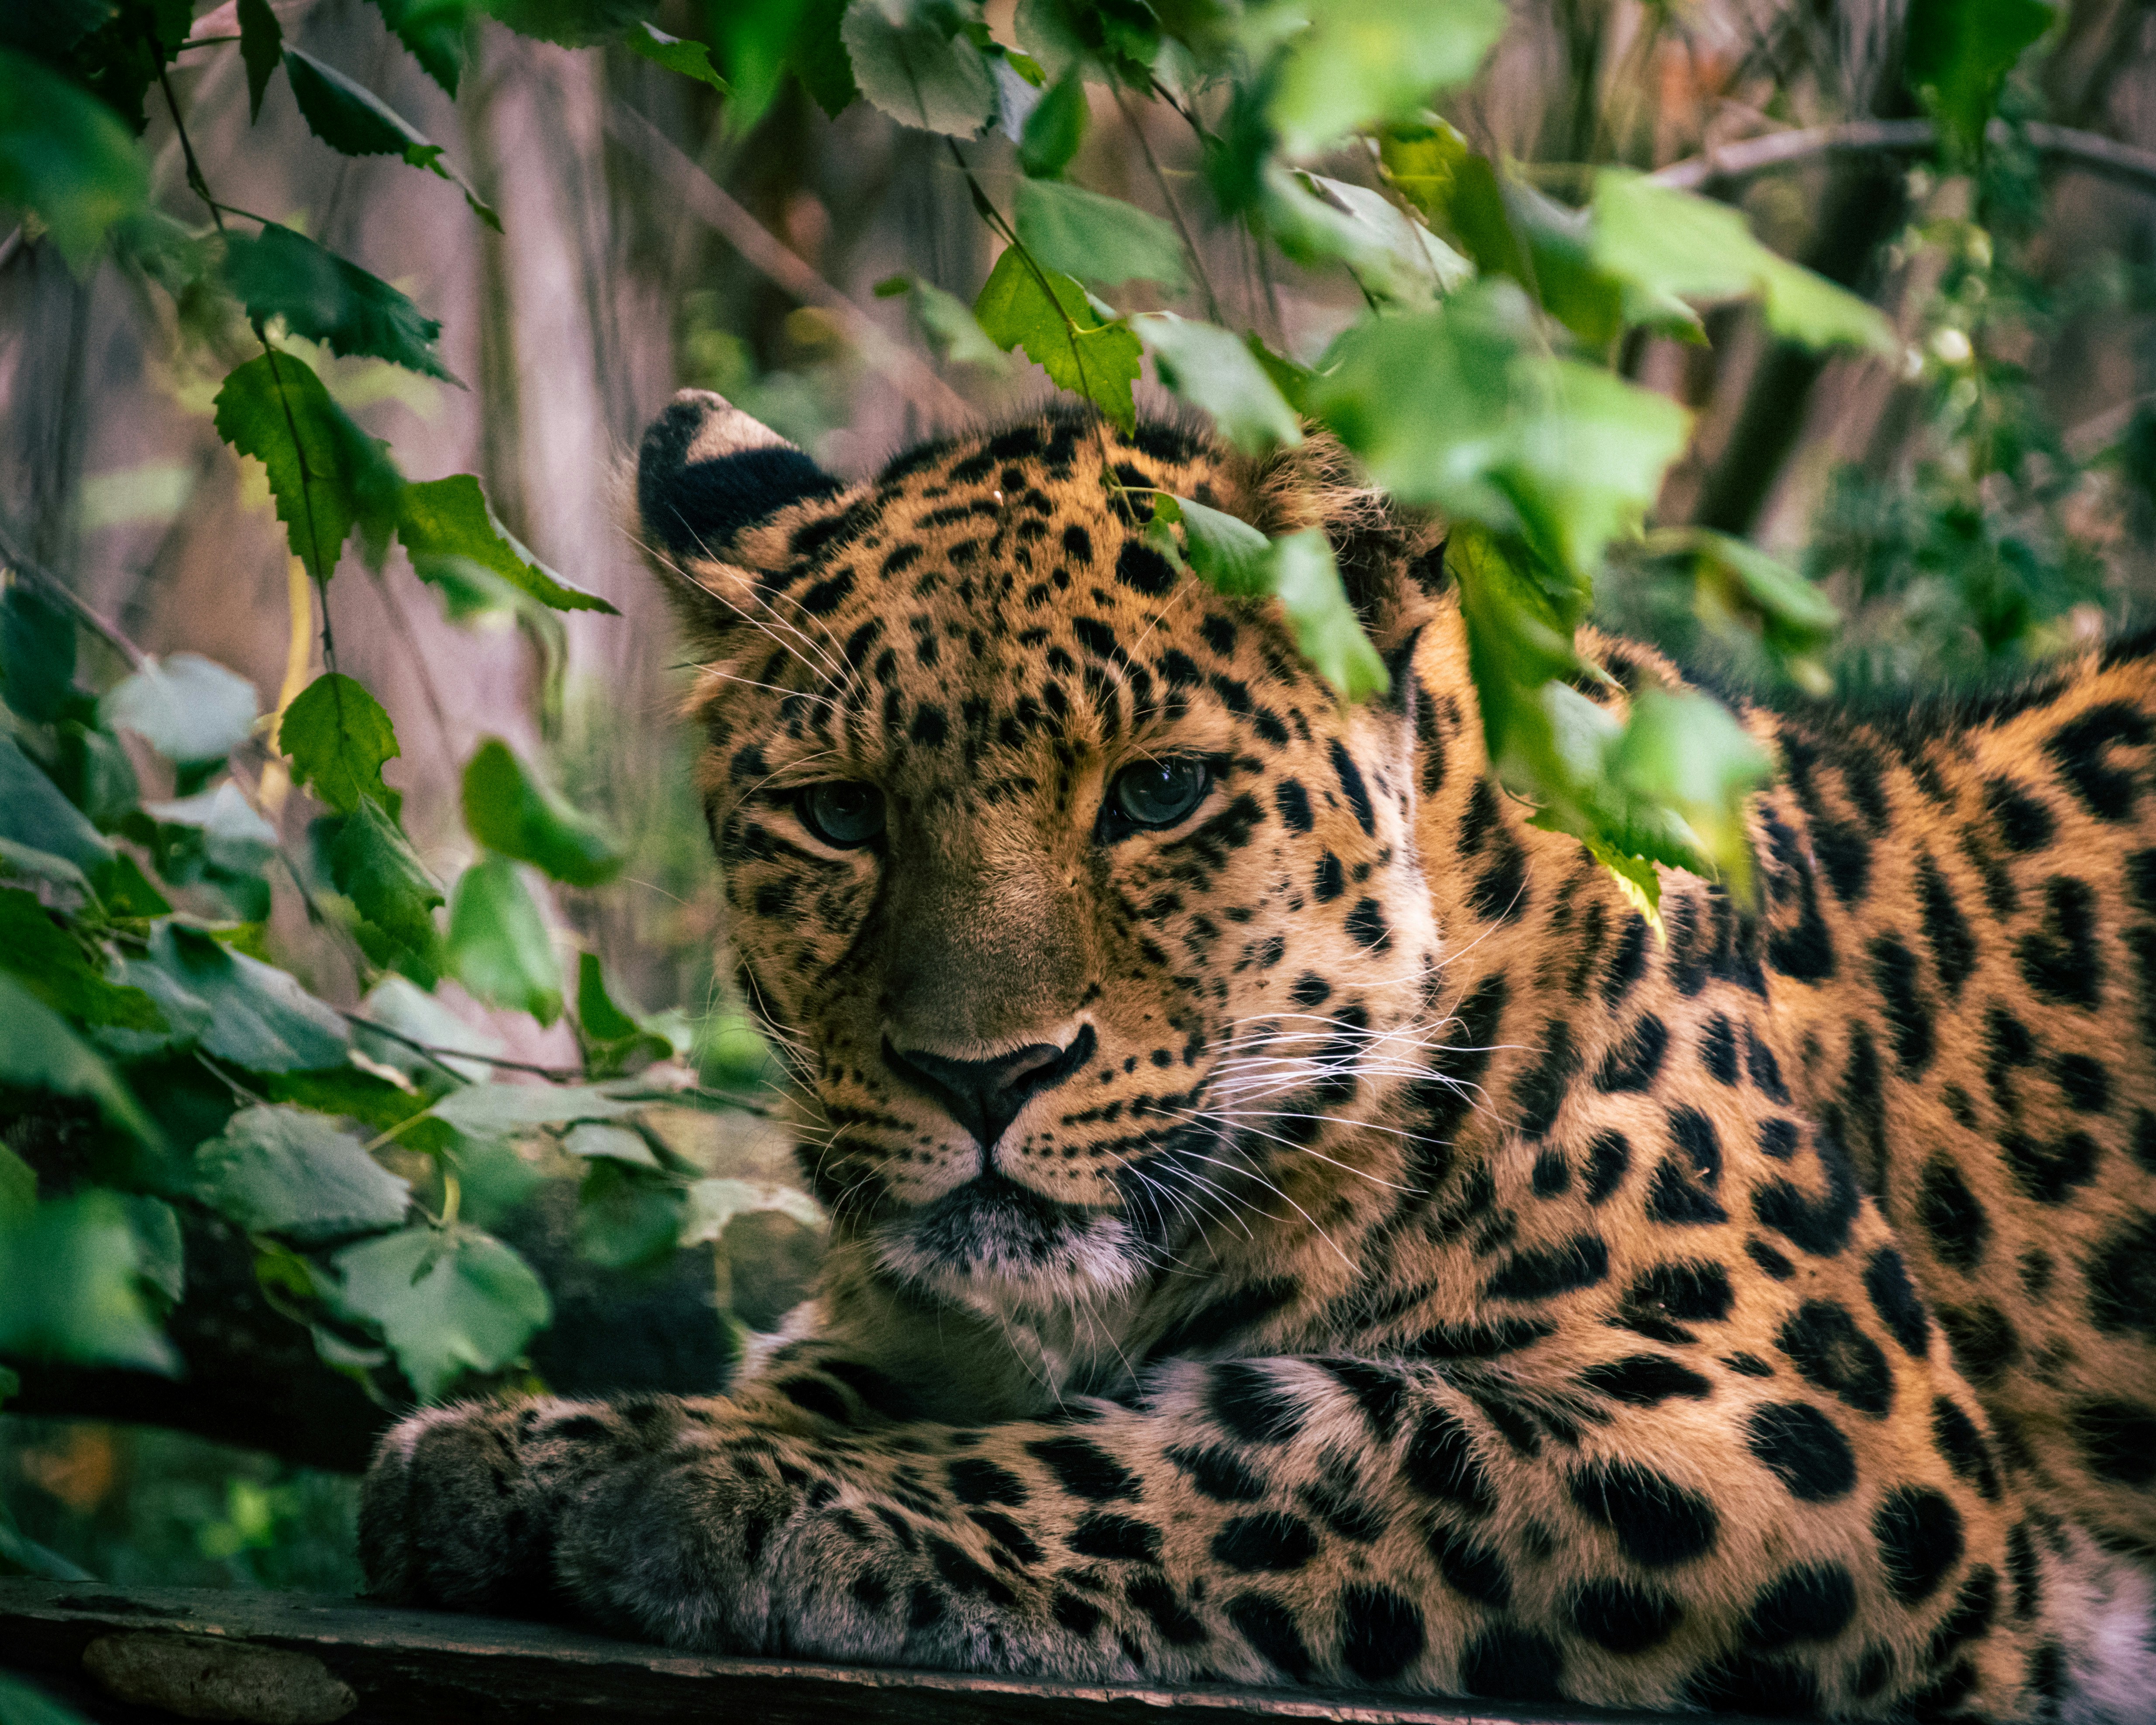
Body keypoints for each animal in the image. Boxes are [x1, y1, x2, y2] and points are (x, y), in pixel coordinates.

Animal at [359, 389, 2156, 1722]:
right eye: (839, 816)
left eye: (1157, 793)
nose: (979, 1077)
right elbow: (831, 1364)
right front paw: (549, 1445)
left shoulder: (1809, 1433)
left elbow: (1264, 1438)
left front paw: (735, 1492)